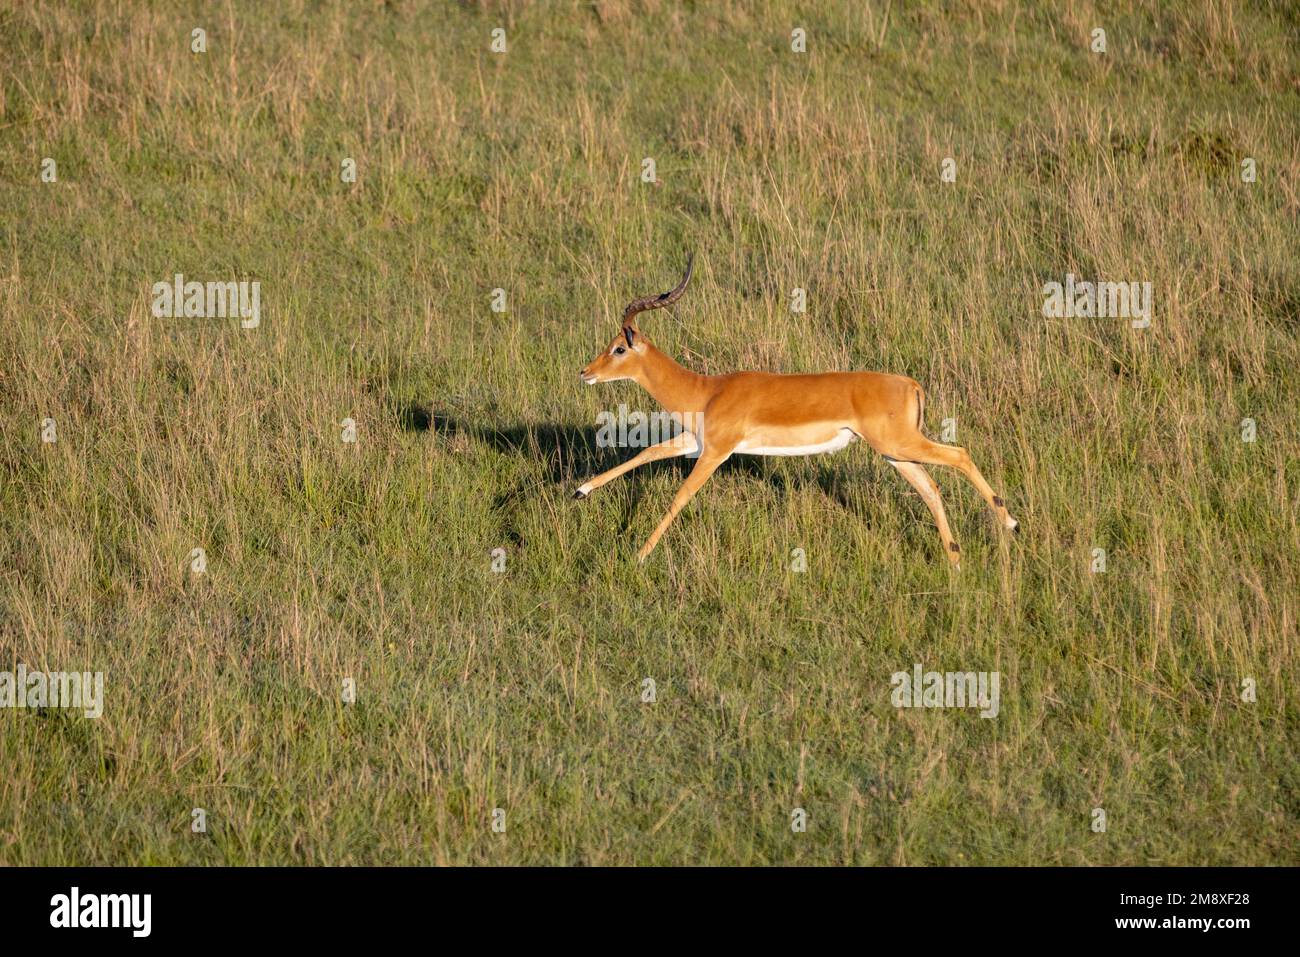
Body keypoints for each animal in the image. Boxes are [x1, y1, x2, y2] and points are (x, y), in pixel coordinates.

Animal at [575, 256, 1019, 564]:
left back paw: (1009, 523)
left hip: (901, 444)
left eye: (619, 348)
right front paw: (580, 490)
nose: (585, 373)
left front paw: (638, 554)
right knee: (931, 488)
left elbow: (680, 496)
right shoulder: (696, 441)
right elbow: (648, 451)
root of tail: (910, 384)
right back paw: (956, 561)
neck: (706, 391)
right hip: (895, 454)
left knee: (959, 454)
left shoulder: (717, 452)